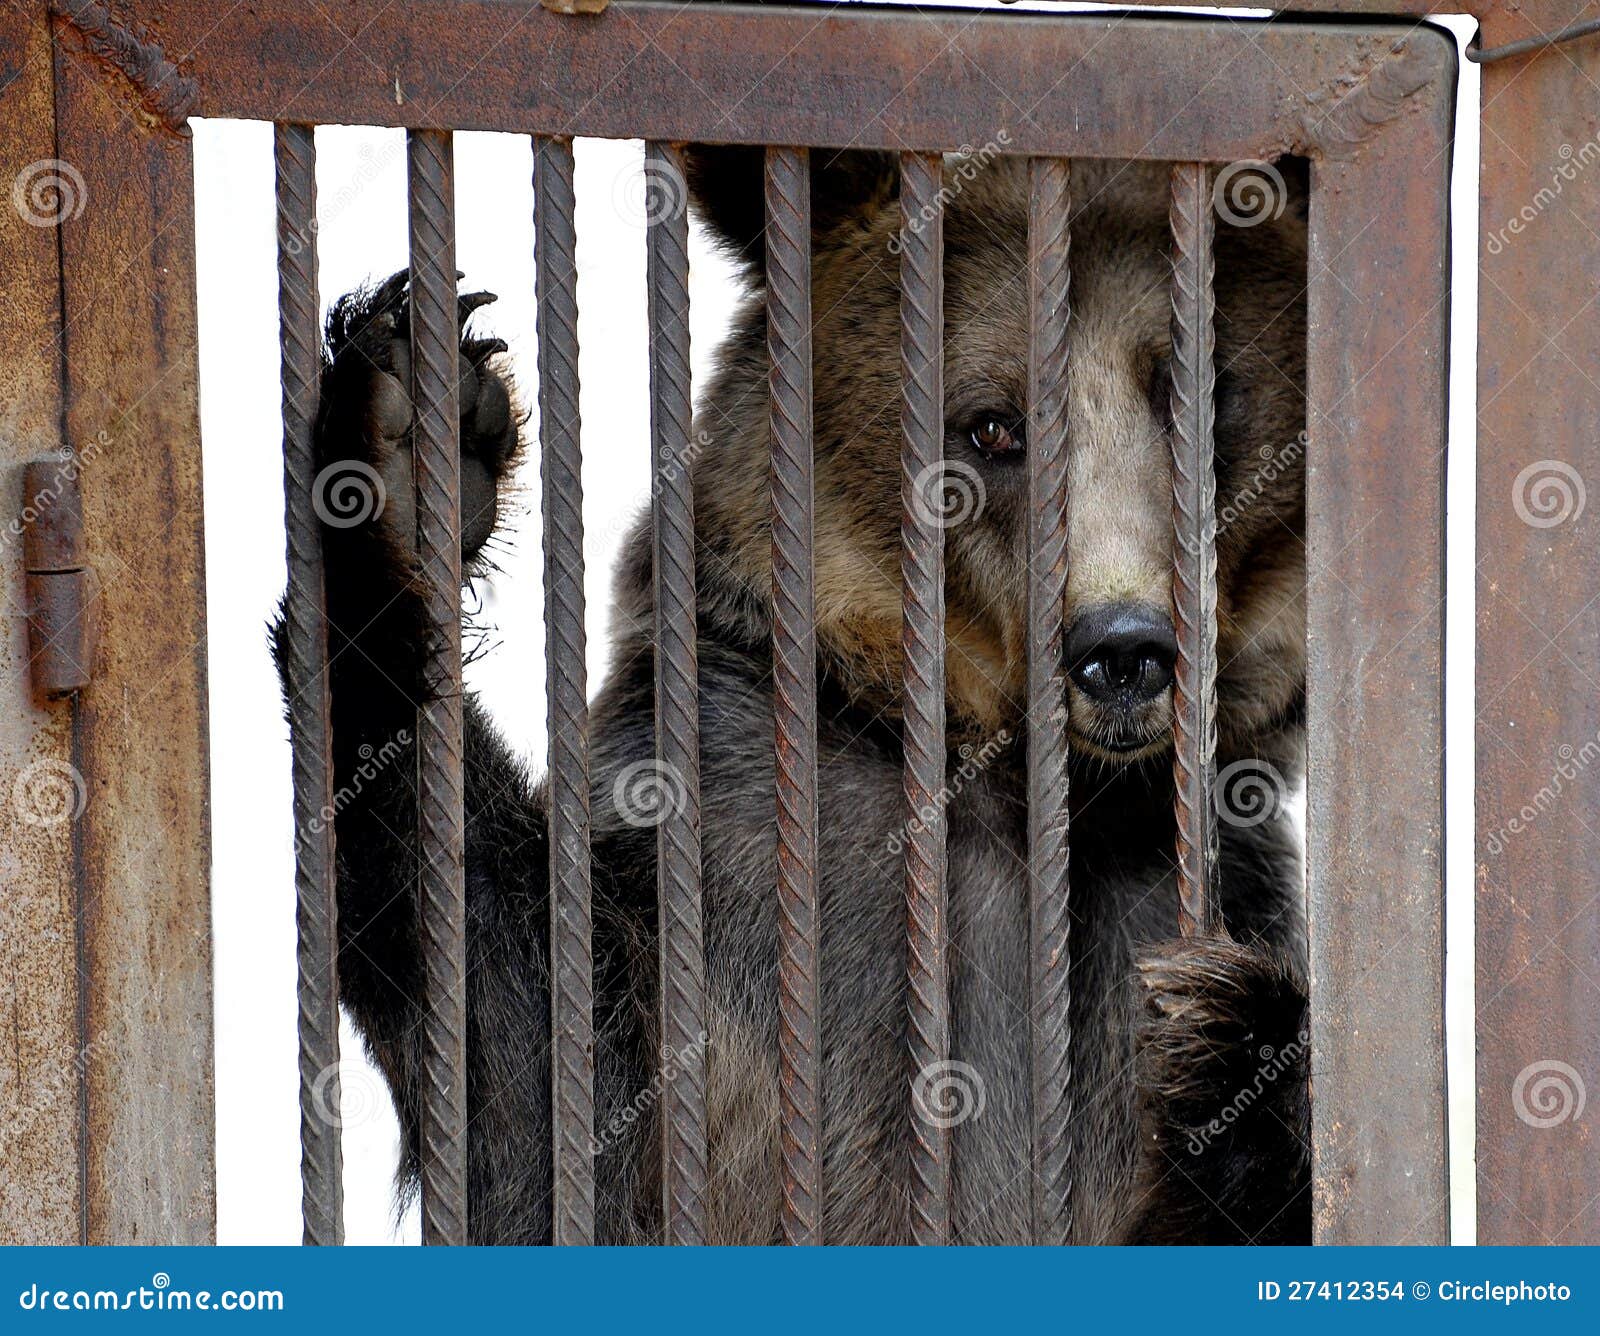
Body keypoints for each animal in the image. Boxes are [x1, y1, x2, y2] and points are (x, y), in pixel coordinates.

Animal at [276, 148, 1312, 1244]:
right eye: (992, 425)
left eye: (1198, 397)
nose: (1122, 651)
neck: (1006, 784)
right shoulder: (729, 849)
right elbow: (537, 1093)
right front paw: (398, 439)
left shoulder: (1179, 889)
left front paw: (1227, 1035)